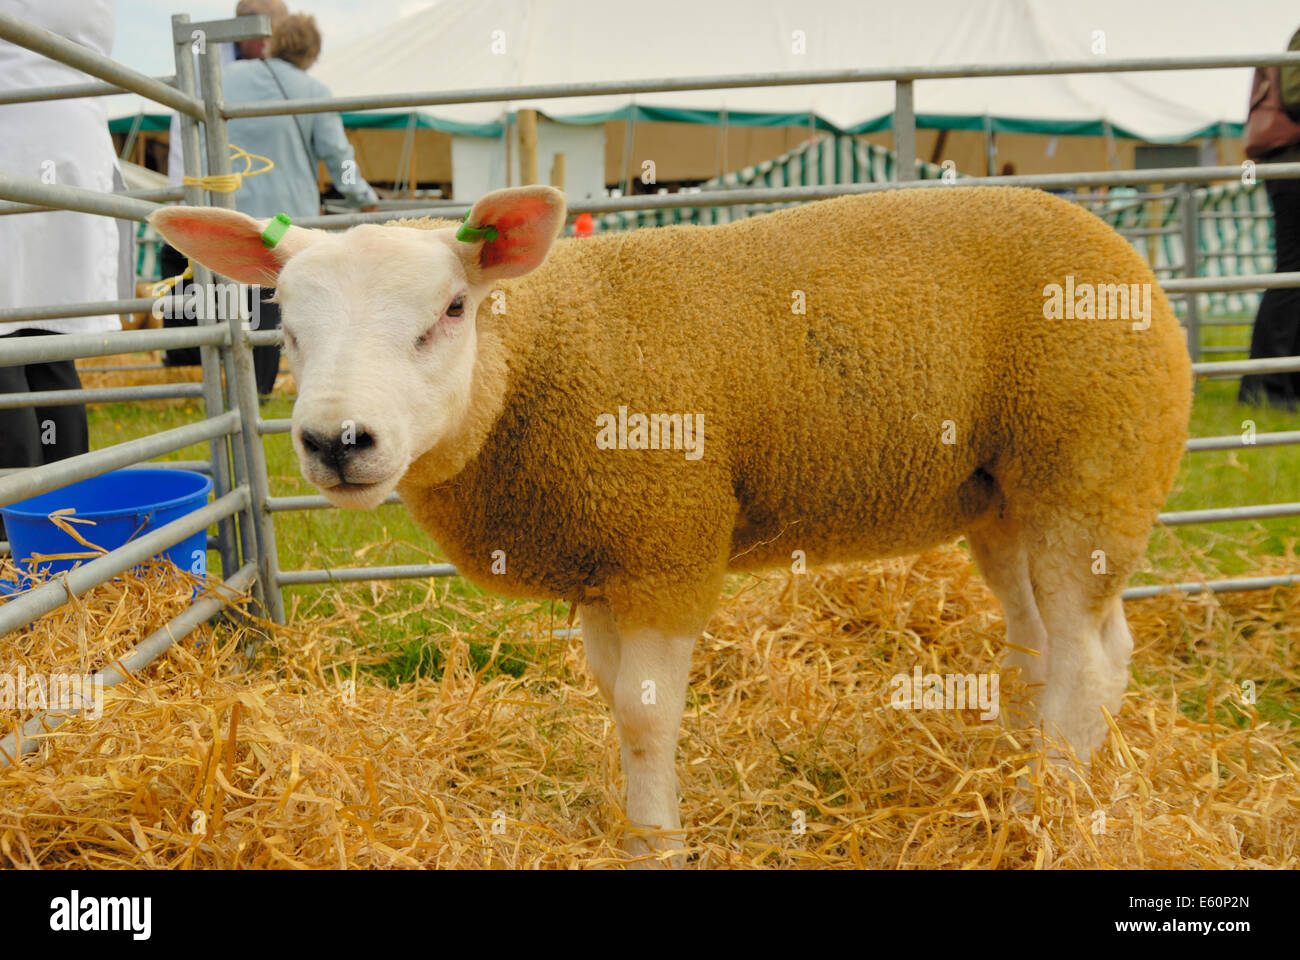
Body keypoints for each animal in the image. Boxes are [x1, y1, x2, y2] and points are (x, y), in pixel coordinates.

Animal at [149, 184, 1192, 865]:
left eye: (450, 309)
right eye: (285, 324)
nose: (337, 441)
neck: (538, 356)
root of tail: (1121, 248)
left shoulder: (667, 544)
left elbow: (646, 716)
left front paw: (656, 840)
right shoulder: (606, 563)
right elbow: (615, 698)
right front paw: (634, 824)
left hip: (1089, 471)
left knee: (1089, 657)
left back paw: (1043, 804)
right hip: (1004, 498)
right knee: (1055, 645)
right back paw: (1021, 767)